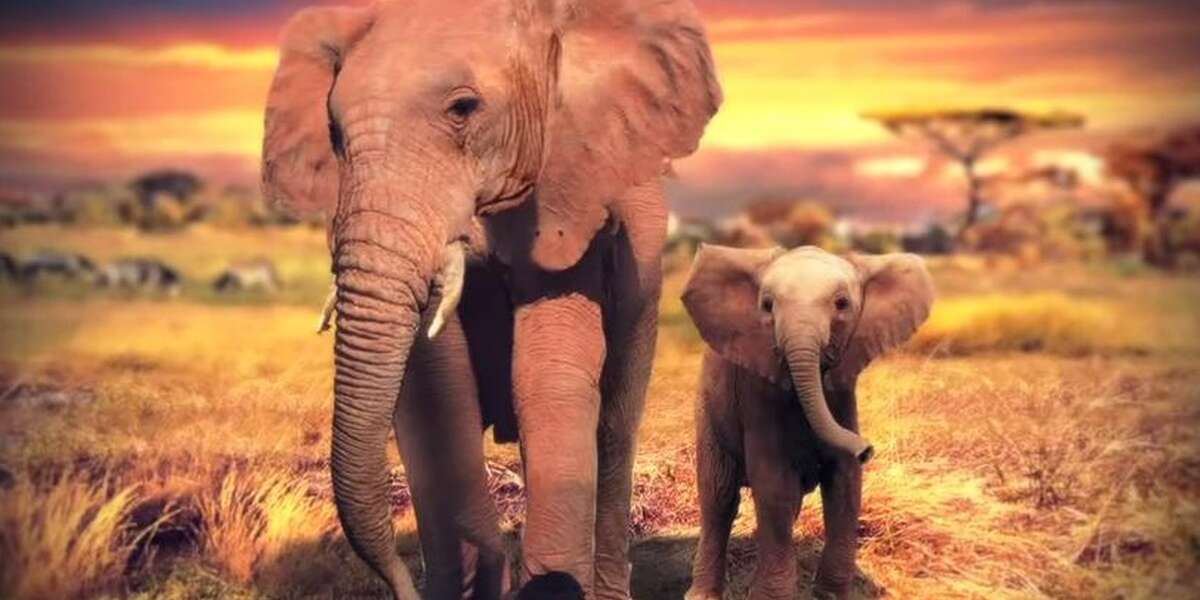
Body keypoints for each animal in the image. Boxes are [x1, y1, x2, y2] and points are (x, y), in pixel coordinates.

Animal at [259, 1, 720, 598]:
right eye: (333, 131)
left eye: (463, 109)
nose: (403, 585)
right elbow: (436, 388)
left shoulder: (570, 191)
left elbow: (546, 375)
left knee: (616, 424)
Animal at [680, 245, 934, 600]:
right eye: (767, 305)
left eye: (841, 304)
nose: (867, 450)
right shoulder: (756, 393)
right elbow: (775, 485)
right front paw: (772, 596)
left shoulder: (841, 395)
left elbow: (845, 482)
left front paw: (829, 594)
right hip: (708, 410)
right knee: (719, 497)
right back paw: (704, 594)